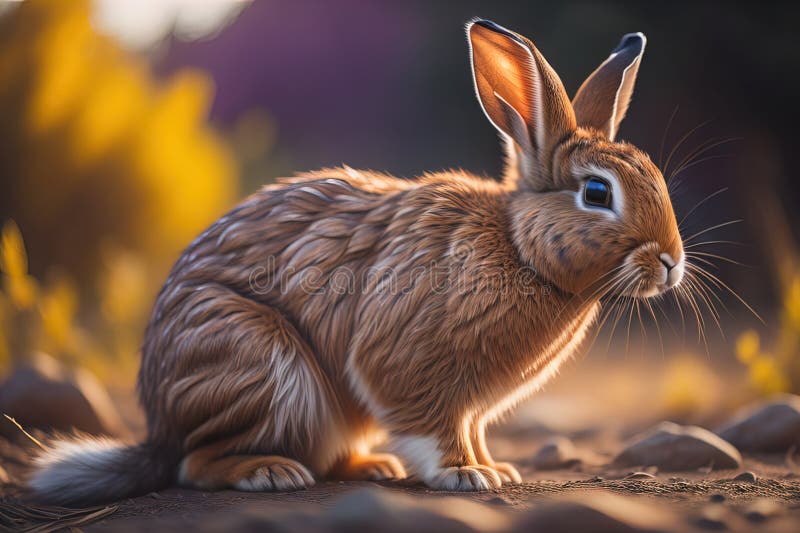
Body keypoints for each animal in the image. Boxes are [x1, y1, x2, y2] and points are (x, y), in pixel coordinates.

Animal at [29, 19, 684, 504]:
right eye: (597, 193)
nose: (672, 262)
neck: (520, 248)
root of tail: (158, 421)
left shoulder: (470, 406)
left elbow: (471, 430)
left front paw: (494, 469)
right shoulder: (406, 365)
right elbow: (432, 427)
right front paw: (464, 475)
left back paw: (373, 469)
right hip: (254, 364)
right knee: (195, 461)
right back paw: (270, 472)